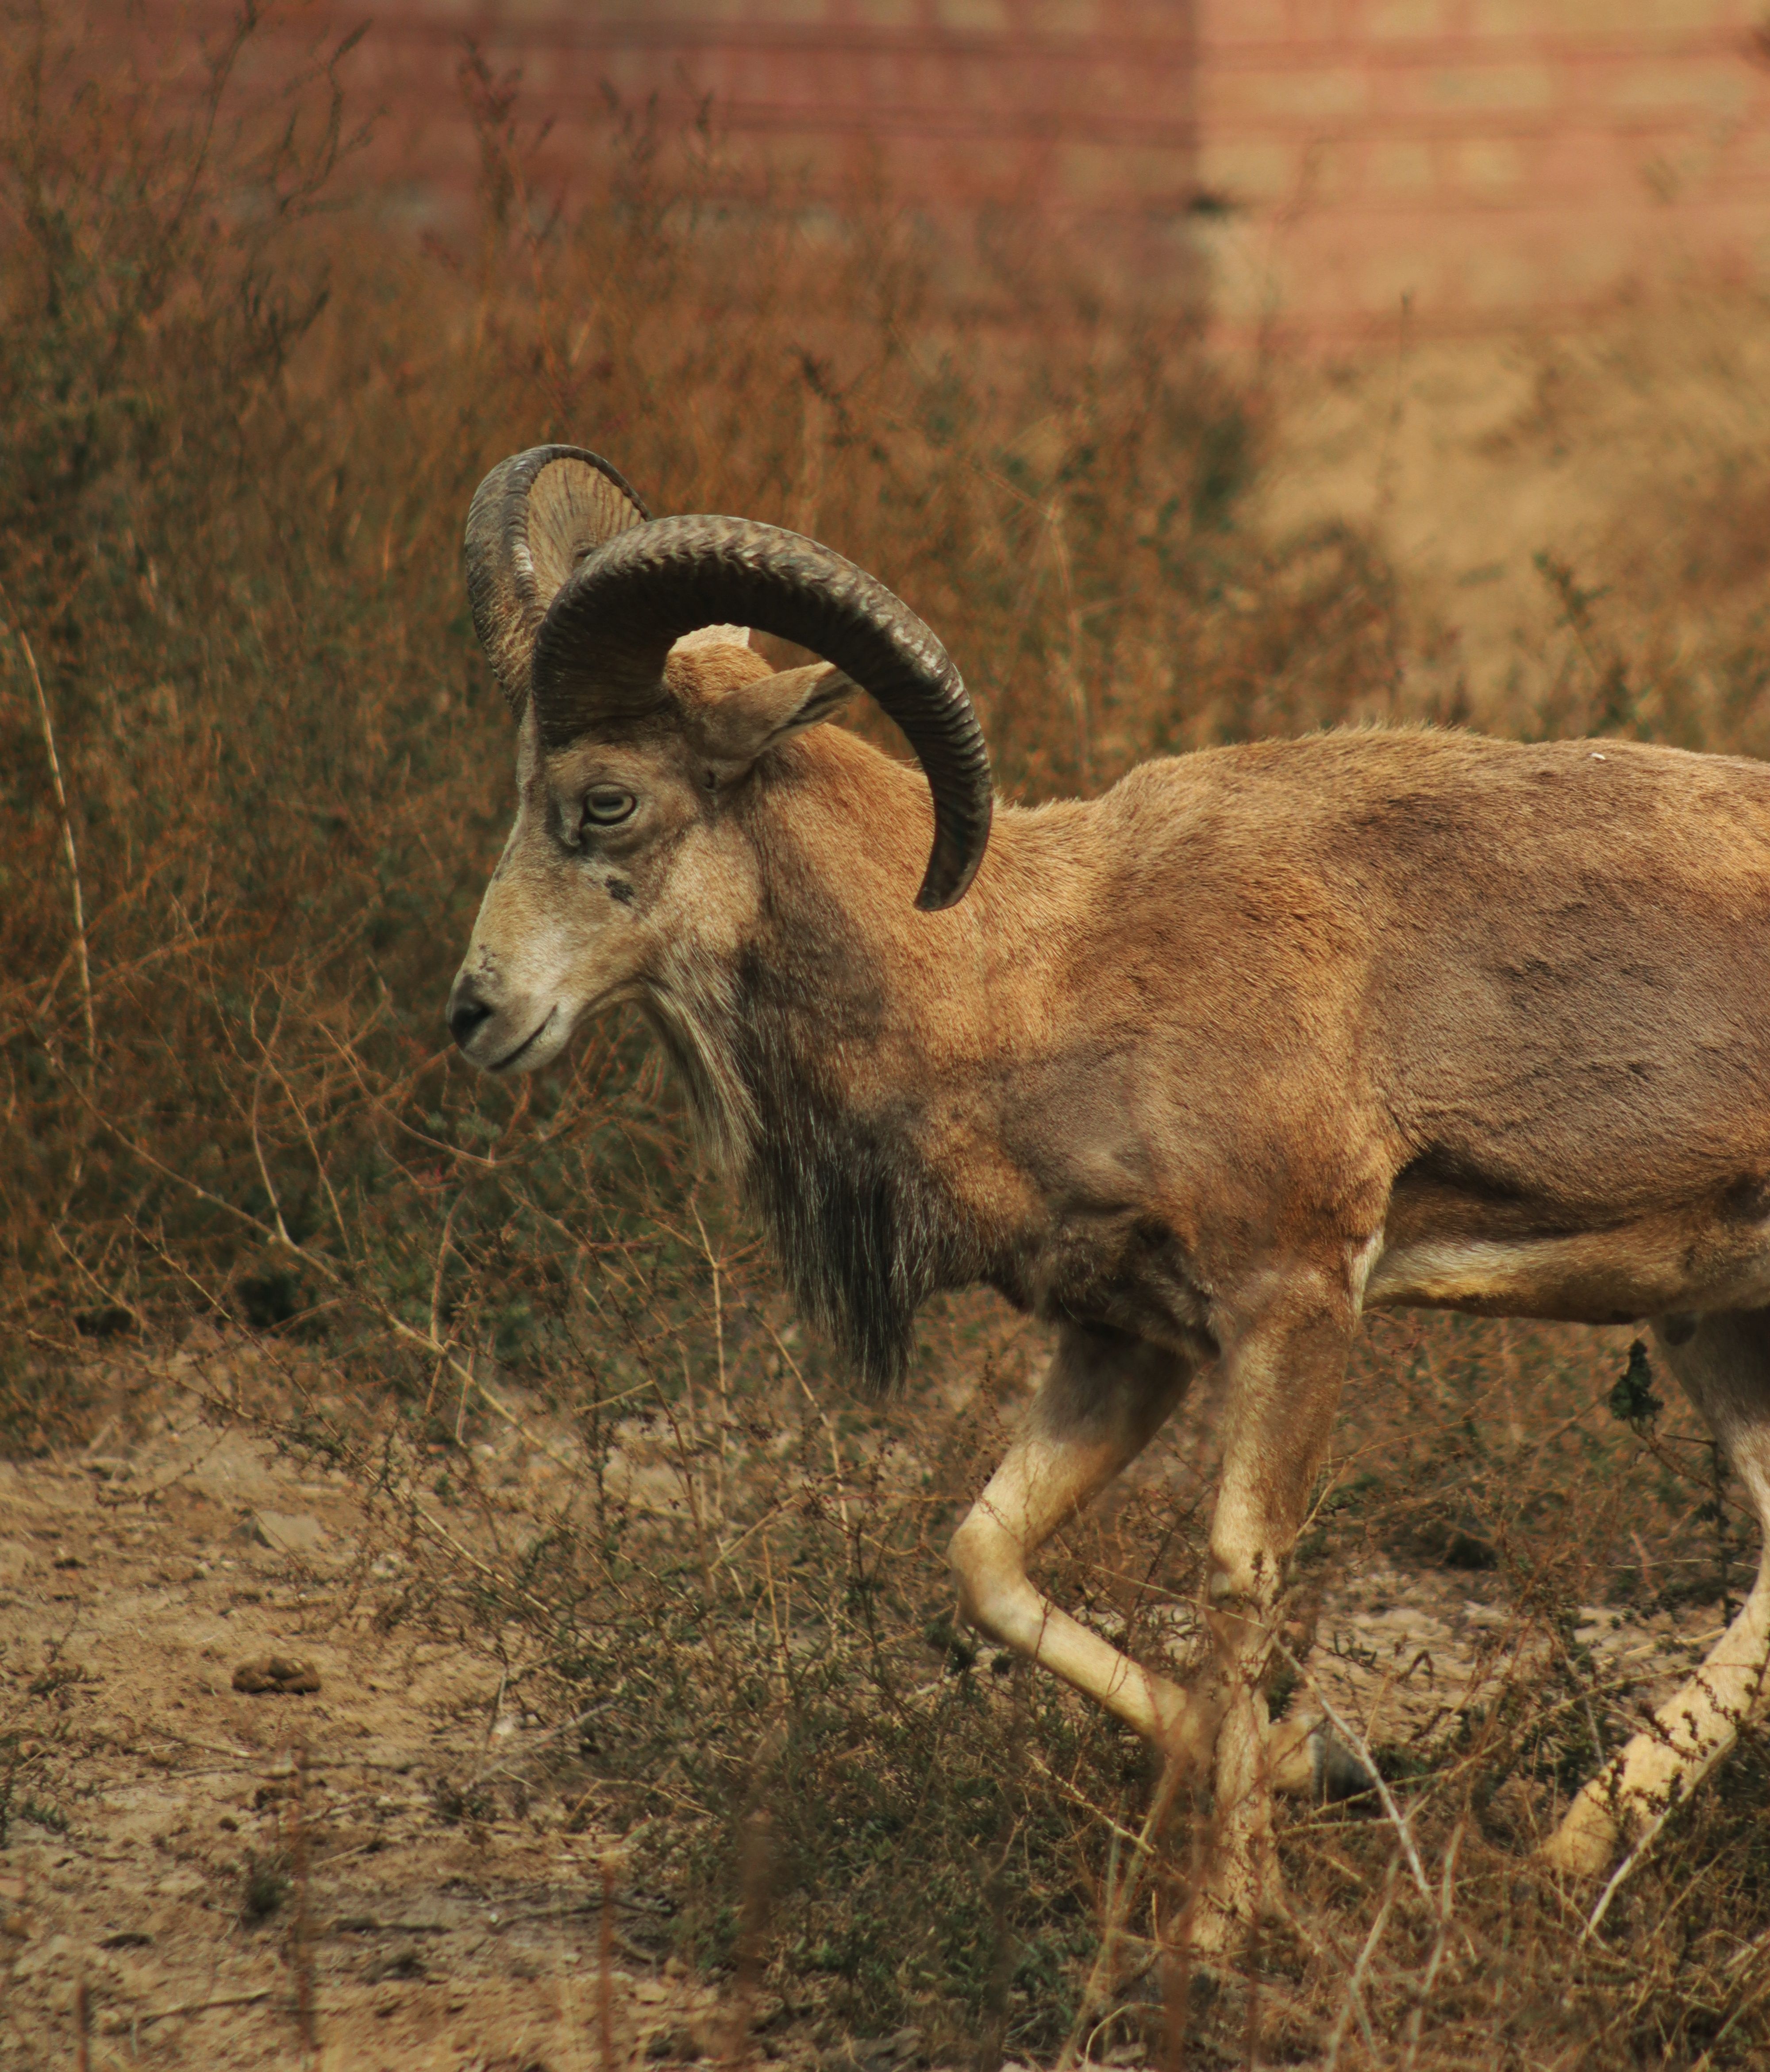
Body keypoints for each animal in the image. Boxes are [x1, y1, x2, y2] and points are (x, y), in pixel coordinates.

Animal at [447, 443, 1770, 1937]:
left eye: (607, 799)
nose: (477, 1013)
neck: (1029, 968)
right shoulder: (1123, 1346)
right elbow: (985, 1558)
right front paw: (1320, 1763)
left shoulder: (1293, 1301)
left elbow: (1237, 1573)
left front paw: (1220, 1919)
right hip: (1716, 1324)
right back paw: (1561, 1856)